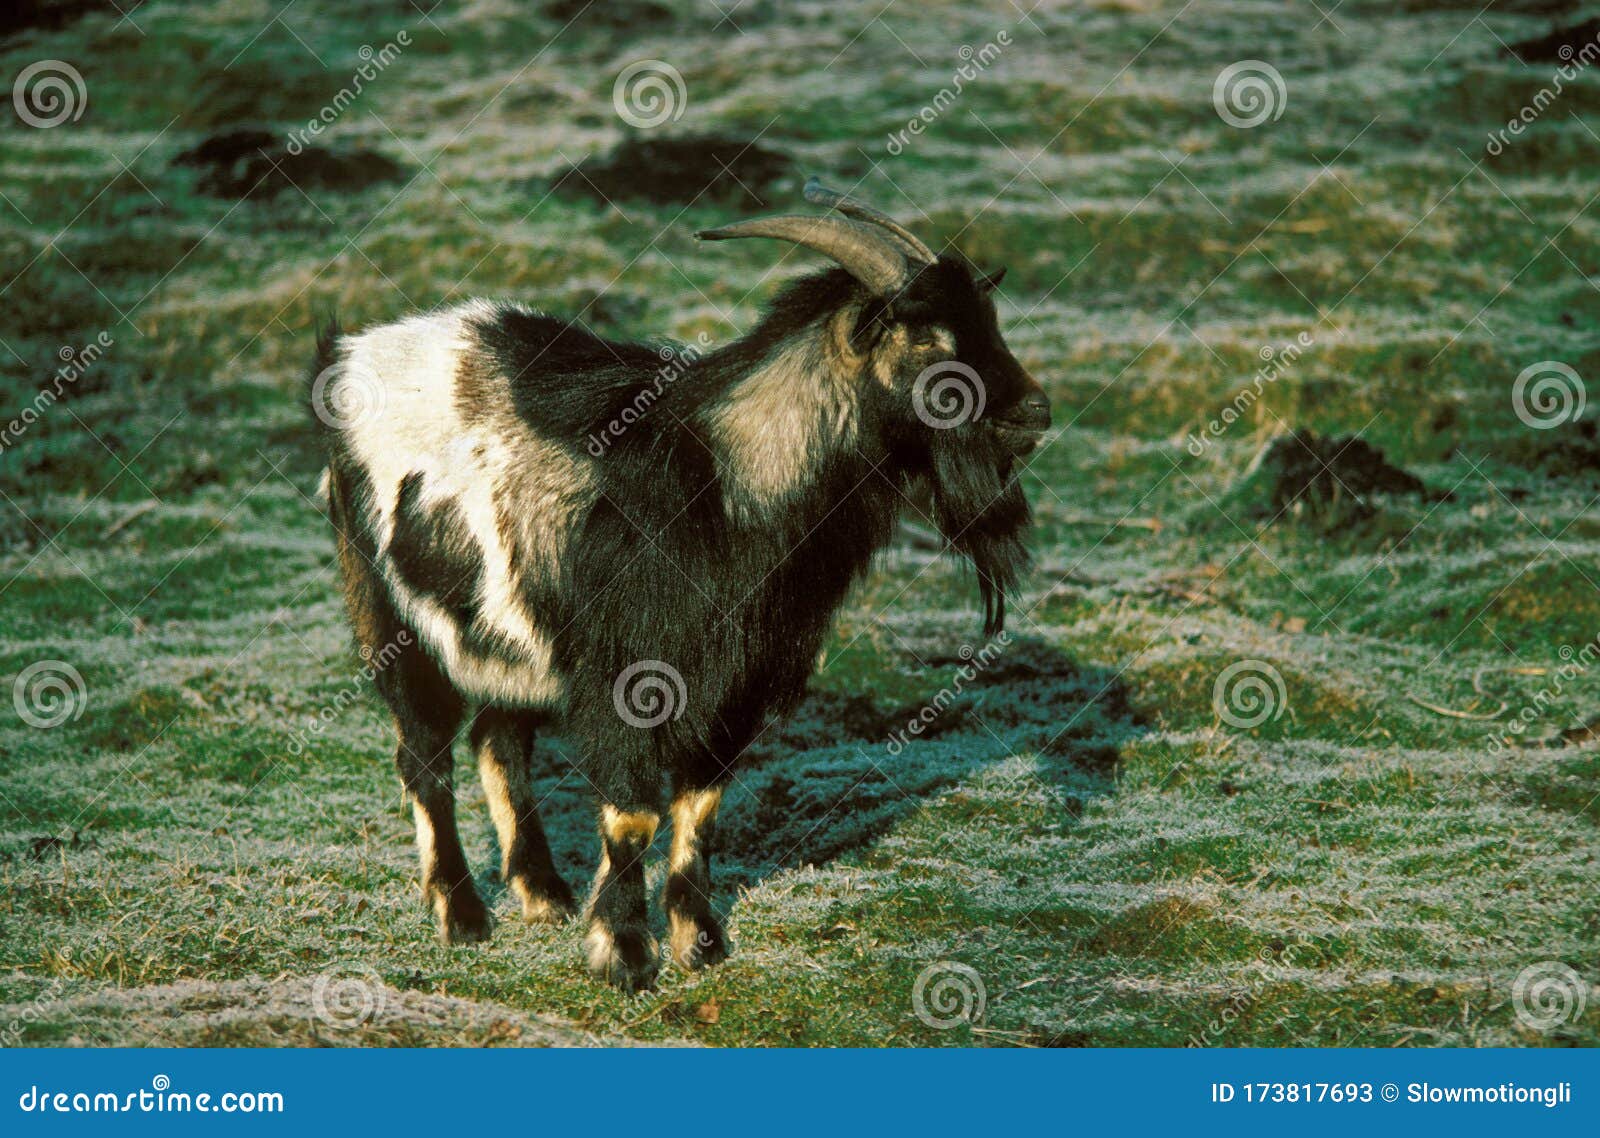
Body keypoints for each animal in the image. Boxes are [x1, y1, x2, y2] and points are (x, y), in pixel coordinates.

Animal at [312, 179, 1050, 991]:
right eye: (930, 342)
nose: (1034, 413)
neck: (729, 478)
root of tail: (350, 353)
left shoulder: (735, 682)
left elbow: (701, 805)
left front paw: (699, 940)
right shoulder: (627, 675)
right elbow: (633, 815)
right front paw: (625, 953)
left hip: (511, 631)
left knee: (498, 742)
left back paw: (542, 894)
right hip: (393, 617)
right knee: (424, 755)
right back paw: (462, 913)